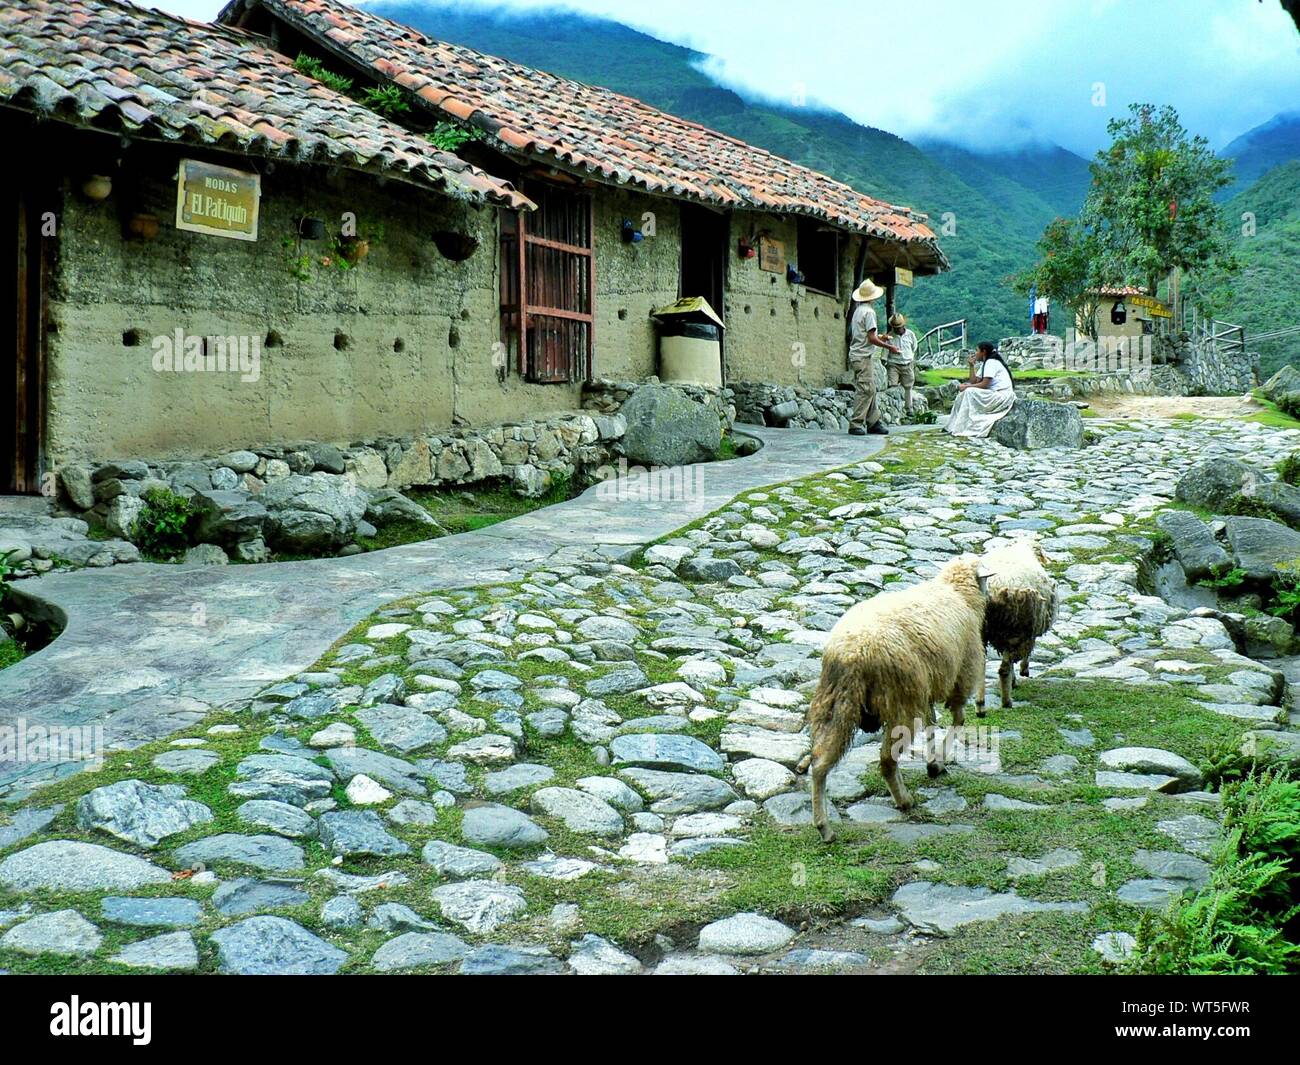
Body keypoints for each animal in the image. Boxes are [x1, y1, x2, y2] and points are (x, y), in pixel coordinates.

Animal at [796, 554, 992, 842]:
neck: (957, 592)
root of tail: (853, 652)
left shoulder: (926, 689)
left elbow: (932, 725)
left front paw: (933, 762)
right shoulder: (959, 677)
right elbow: (957, 720)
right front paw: (938, 762)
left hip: (836, 702)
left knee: (821, 760)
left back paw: (824, 826)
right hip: (899, 701)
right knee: (887, 762)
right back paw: (904, 801)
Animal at [978, 536, 1058, 712]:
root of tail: (993, 590)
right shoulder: (1029, 629)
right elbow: (1025, 655)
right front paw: (1022, 672)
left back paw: (980, 705)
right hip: (1013, 629)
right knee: (1003, 669)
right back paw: (1006, 702)